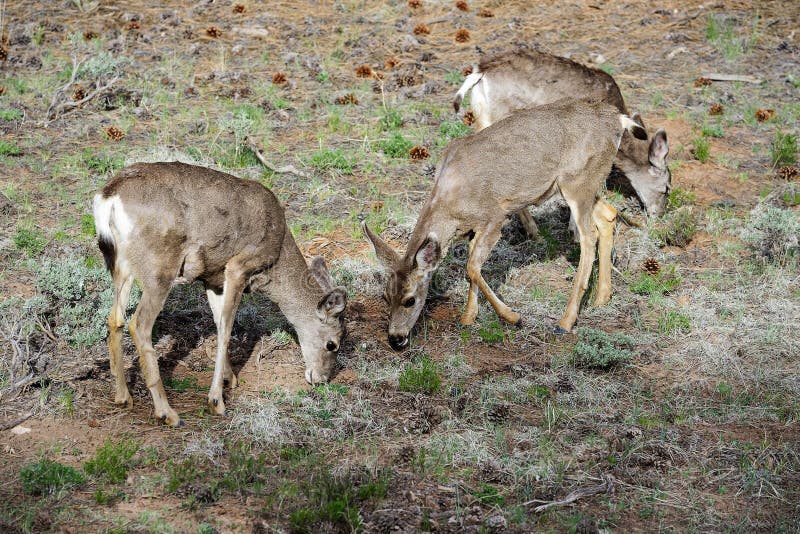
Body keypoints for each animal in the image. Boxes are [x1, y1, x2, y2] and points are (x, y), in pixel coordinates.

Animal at [92, 162, 347, 426]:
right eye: (332, 344)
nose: (321, 379)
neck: (276, 260)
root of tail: (108, 197)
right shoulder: (238, 266)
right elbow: (226, 330)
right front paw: (217, 401)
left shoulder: (213, 279)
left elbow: (218, 321)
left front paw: (229, 378)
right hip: (159, 265)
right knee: (139, 324)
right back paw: (167, 412)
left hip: (121, 263)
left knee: (115, 318)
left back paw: (123, 397)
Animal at [364, 99, 647, 350]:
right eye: (386, 296)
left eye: (410, 300)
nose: (396, 339)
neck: (451, 202)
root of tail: (618, 119)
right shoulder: (474, 229)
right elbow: (472, 266)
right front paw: (468, 317)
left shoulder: (495, 216)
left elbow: (471, 268)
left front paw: (513, 317)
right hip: (585, 184)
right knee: (608, 215)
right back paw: (601, 299)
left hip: (578, 181)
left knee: (588, 236)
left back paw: (565, 321)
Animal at [454, 48, 670, 234]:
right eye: (667, 188)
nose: (659, 214)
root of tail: (480, 72)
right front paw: (574, 230)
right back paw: (533, 230)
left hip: (481, 120)